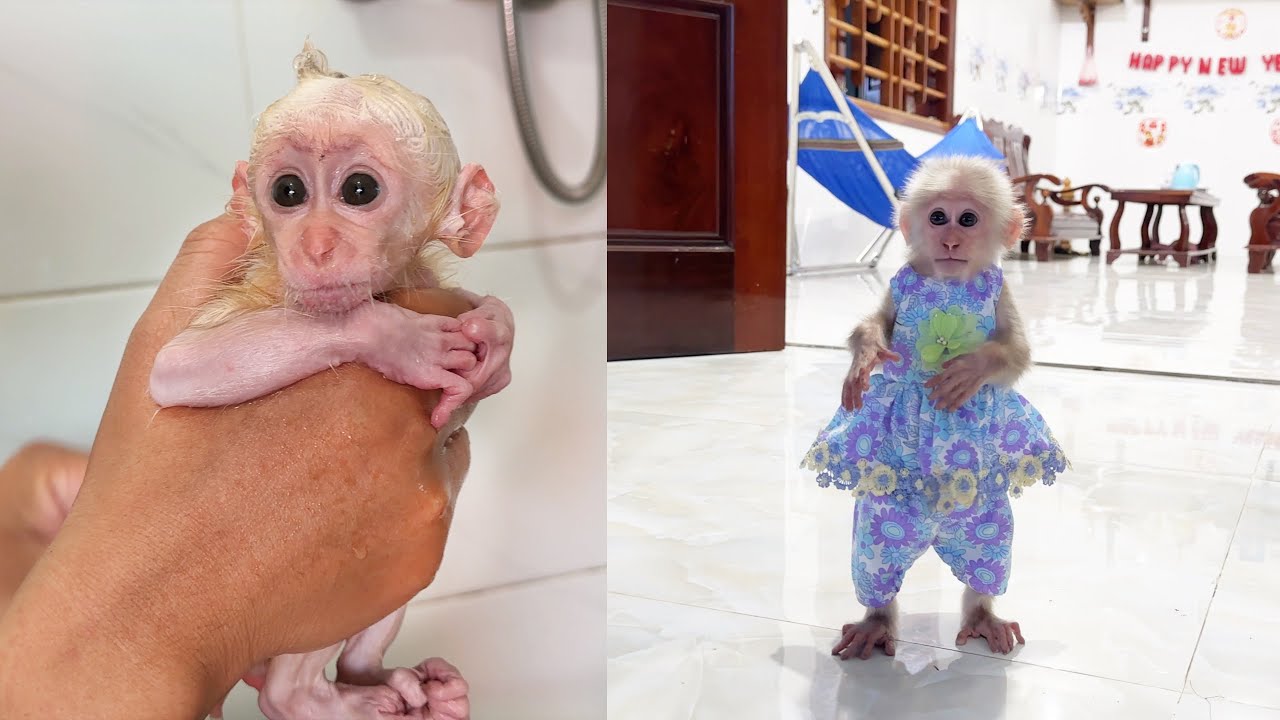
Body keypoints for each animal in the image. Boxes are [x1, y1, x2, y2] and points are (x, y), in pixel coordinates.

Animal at [148, 41, 516, 720]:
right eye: (288, 191)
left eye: (359, 189)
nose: (315, 245)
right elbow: (179, 366)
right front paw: (394, 339)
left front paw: (496, 334)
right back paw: (308, 698)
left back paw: (375, 675)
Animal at [801, 155, 1069, 661]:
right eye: (938, 216)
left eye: (968, 219)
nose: (949, 241)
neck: (947, 283)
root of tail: (935, 530)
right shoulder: (896, 291)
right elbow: (875, 325)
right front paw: (866, 356)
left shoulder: (1004, 298)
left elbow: (1015, 352)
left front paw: (969, 369)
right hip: (885, 524)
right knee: (876, 564)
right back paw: (875, 622)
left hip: (983, 523)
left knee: (986, 563)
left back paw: (983, 615)